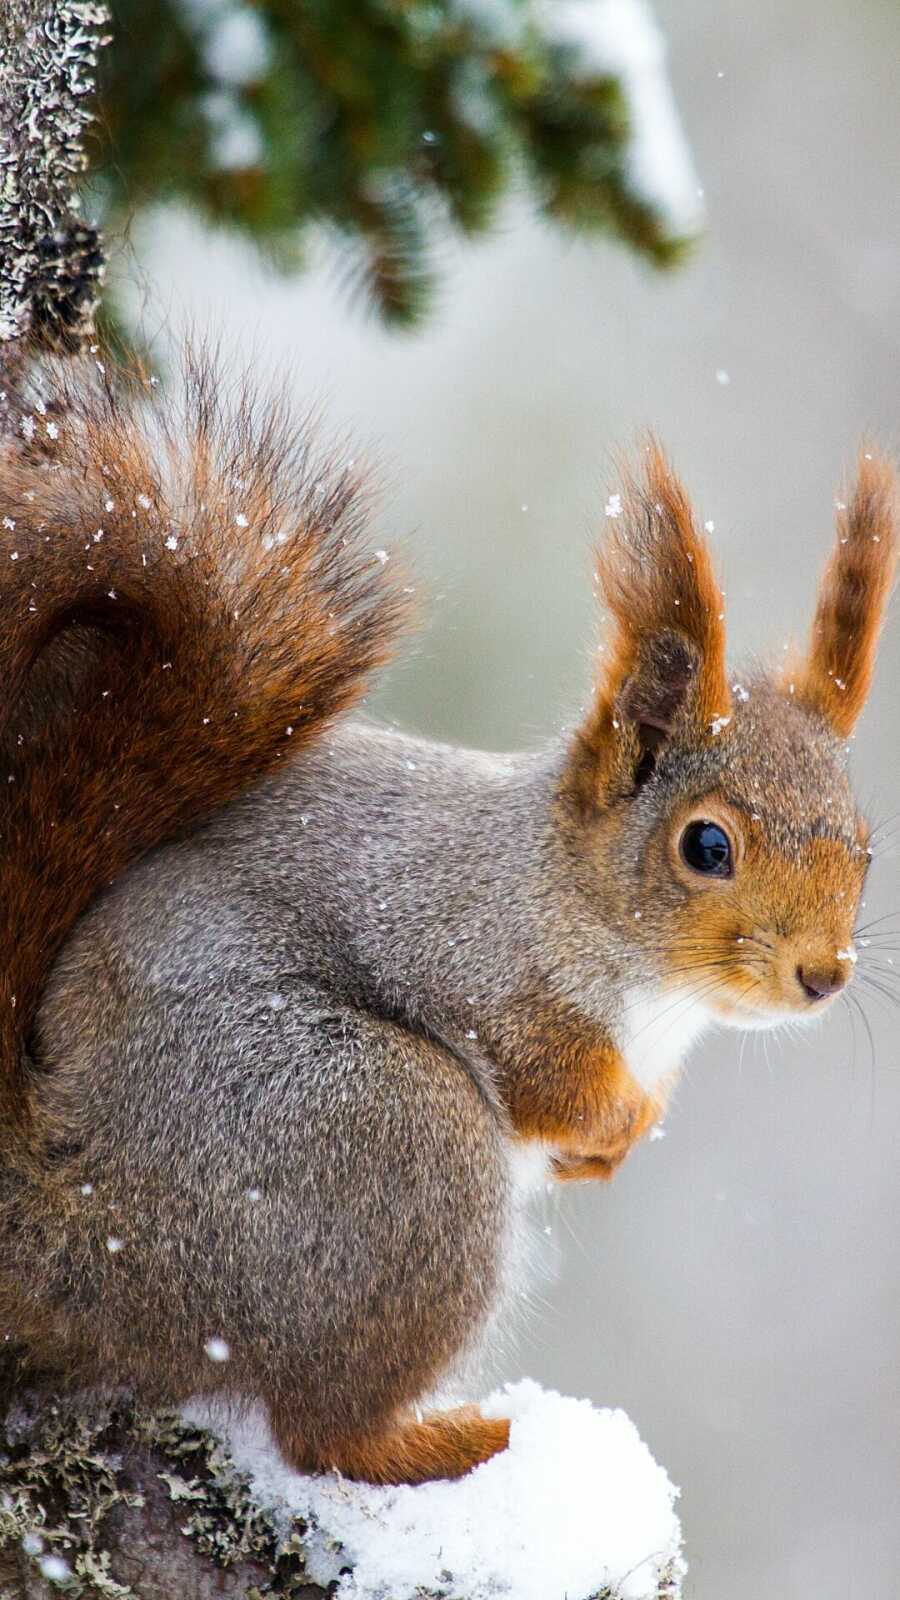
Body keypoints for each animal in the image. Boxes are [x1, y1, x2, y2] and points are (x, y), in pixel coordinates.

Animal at [0, 347, 894, 1487]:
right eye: (706, 847)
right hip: (390, 1139)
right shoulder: (470, 953)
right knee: (323, 1431)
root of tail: (82, 1215)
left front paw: (614, 1146)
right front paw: (614, 1120)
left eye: (864, 846)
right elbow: (544, 1069)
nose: (822, 975)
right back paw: (458, 1437)